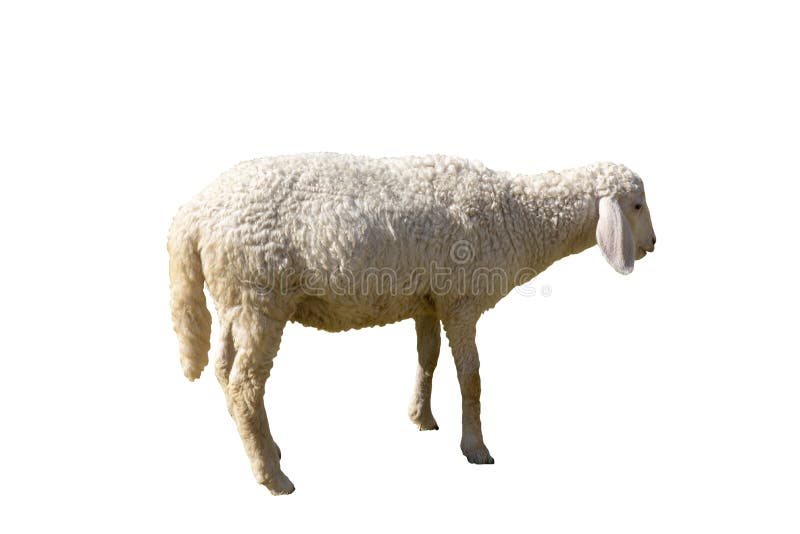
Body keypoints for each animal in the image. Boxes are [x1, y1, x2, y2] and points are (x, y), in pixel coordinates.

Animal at [168, 153, 657, 495]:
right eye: (636, 204)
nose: (652, 243)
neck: (515, 217)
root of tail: (194, 215)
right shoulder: (461, 300)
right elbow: (471, 377)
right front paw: (476, 448)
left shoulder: (429, 299)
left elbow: (428, 359)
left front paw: (421, 417)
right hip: (260, 295)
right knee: (245, 384)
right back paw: (273, 476)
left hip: (234, 298)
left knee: (224, 370)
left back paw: (266, 450)